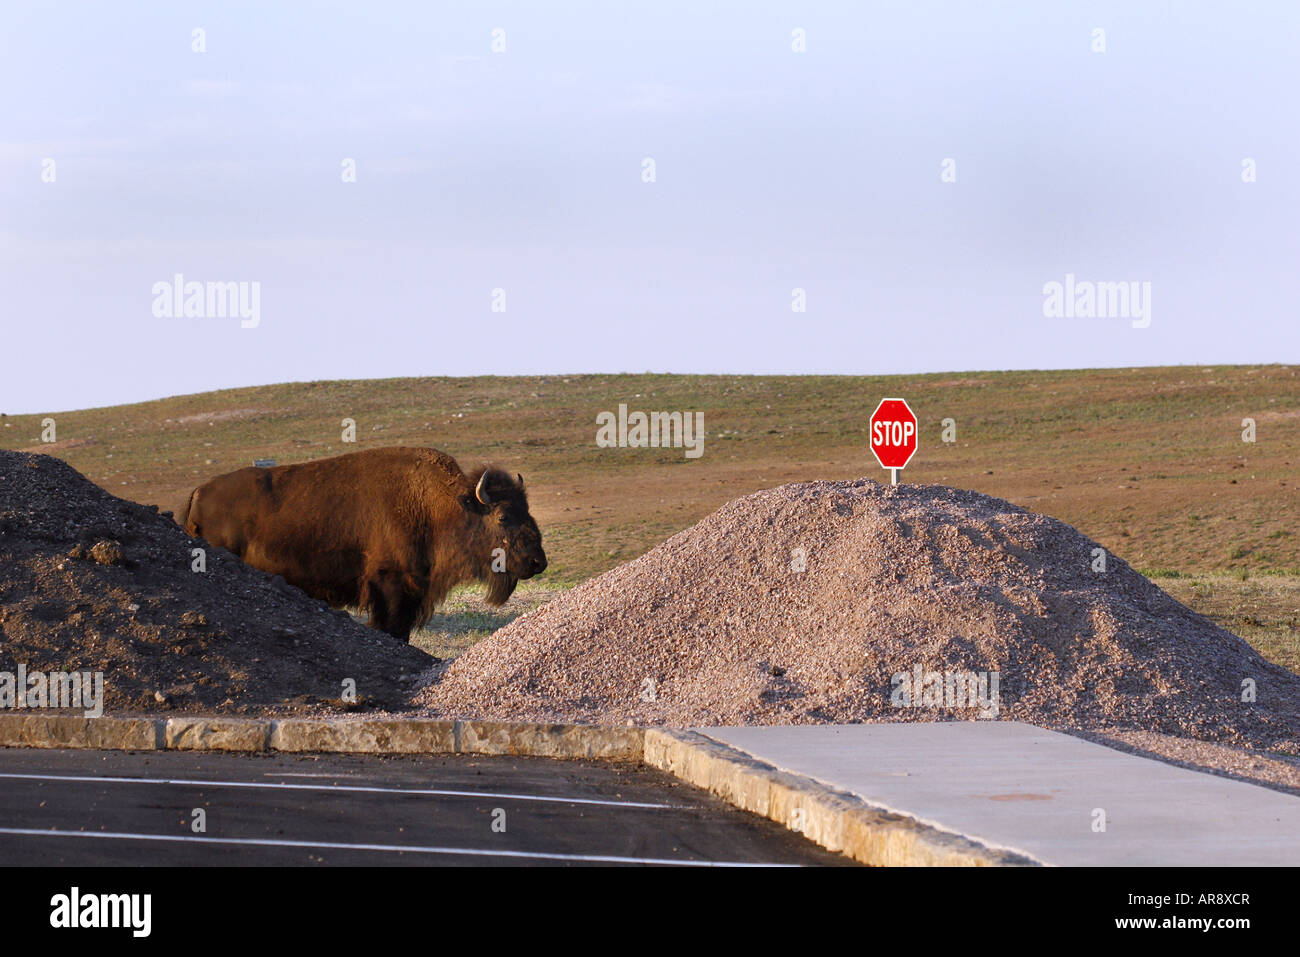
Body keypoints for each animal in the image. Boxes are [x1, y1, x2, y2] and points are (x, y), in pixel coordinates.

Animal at [179, 447, 547, 642]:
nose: (537, 561)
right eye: (502, 516)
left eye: (527, 508)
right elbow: (391, 628)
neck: (443, 507)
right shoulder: (391, 588)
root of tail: (199, 492)